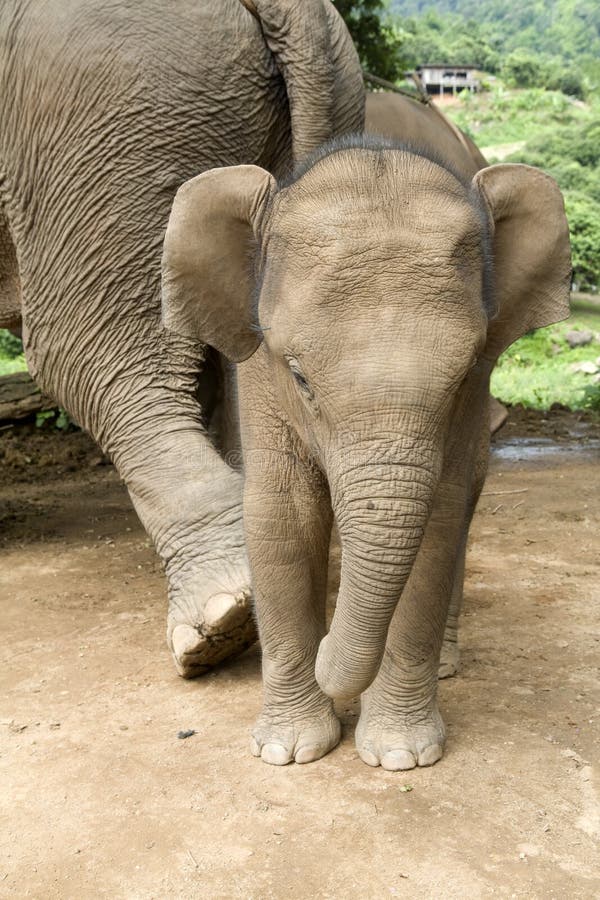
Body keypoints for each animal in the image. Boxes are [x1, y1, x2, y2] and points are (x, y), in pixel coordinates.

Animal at [162, 139, 571, 770]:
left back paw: (444, 668)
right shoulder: (258, 374)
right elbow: (282, 516)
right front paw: (288, 751)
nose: (330, 644)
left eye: (462, 379)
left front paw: (401, 757)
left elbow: (439, 523)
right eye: (299, 377)